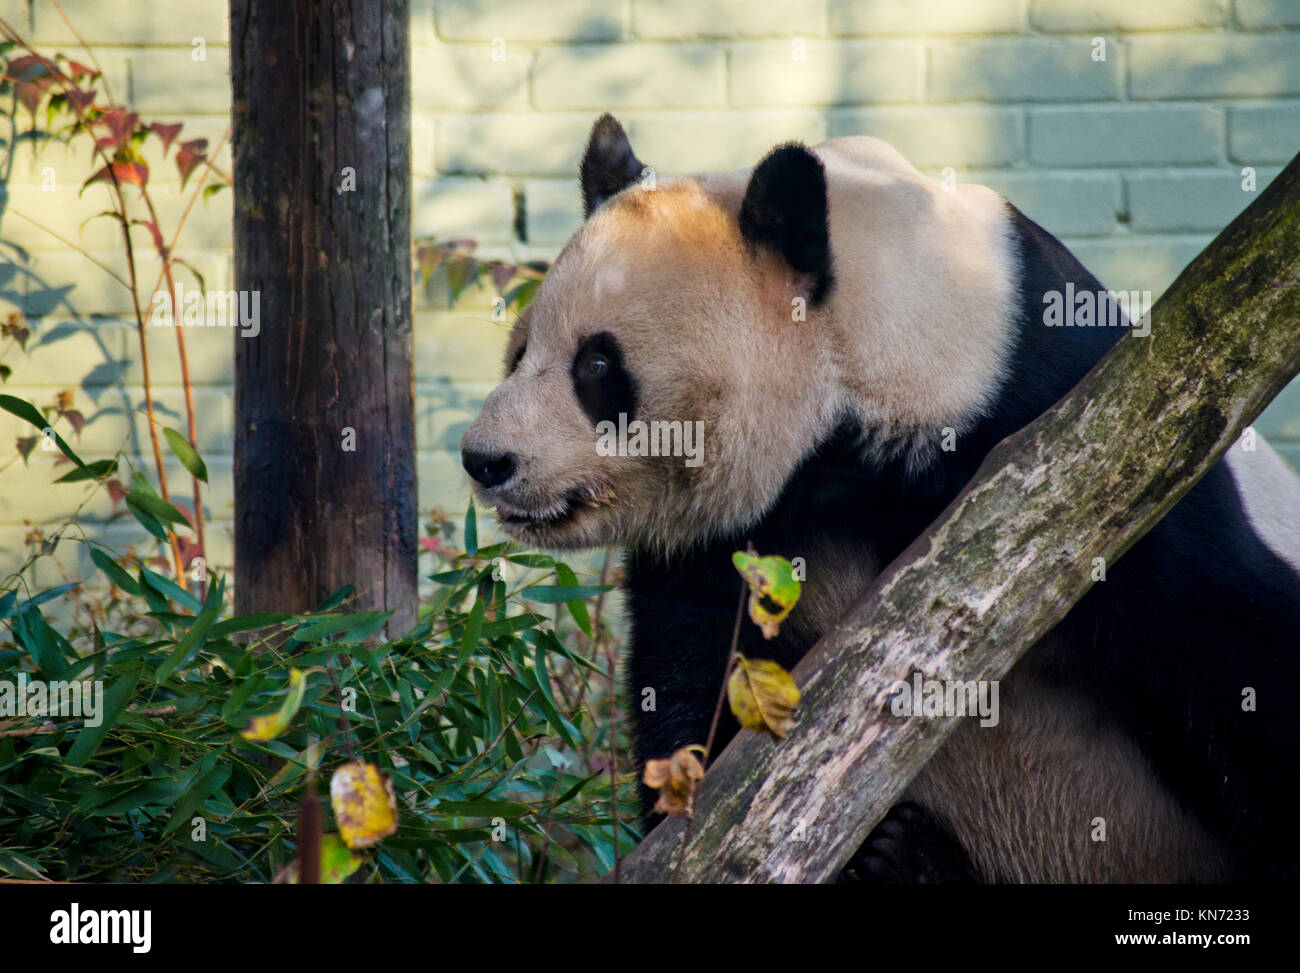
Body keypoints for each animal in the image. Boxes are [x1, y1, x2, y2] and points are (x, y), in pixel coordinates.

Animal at [461, 113, 1300, 883]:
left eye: (598, 366)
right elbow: (691, 684)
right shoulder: (729, 544)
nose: (484, 459)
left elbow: (1227, 636)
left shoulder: (1094, 440)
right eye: (519, 351)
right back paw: (903, 853)